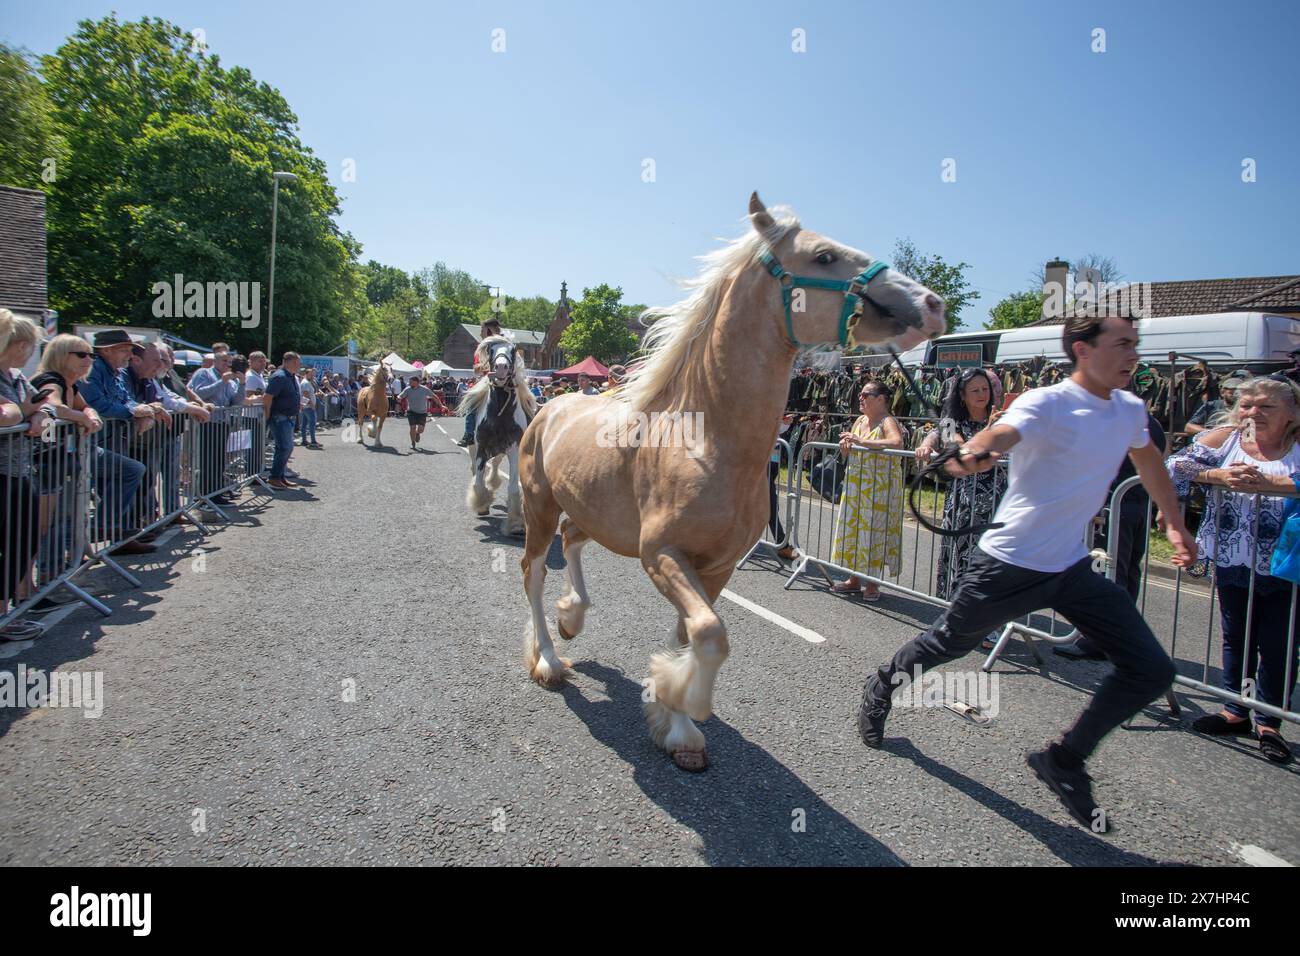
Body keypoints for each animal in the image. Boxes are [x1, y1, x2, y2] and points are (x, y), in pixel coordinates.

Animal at [458, 335, 537, 535]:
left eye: (513, 350)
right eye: (491, 350)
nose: (501, 367)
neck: (500, 414)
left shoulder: (514, 449)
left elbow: (513, 487)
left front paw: (516, 524)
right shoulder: (481, 449)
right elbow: (478, 483)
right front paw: (481, 504)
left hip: (501, 451)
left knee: (493, 466)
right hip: (473, 448)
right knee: (475, 469)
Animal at [516, 193, 946, 771]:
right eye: (825, 256)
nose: (931, 303)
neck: (707, 439)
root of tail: (548, 405)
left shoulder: (715, 567)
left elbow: (692, 634)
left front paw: (674, 721)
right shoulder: (662, 555)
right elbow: (710, 636)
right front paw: (685, 705)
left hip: (590, 514)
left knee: (573, 544)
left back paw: (571, 619)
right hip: (539, 508)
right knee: (535, 573)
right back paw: (548, 658)